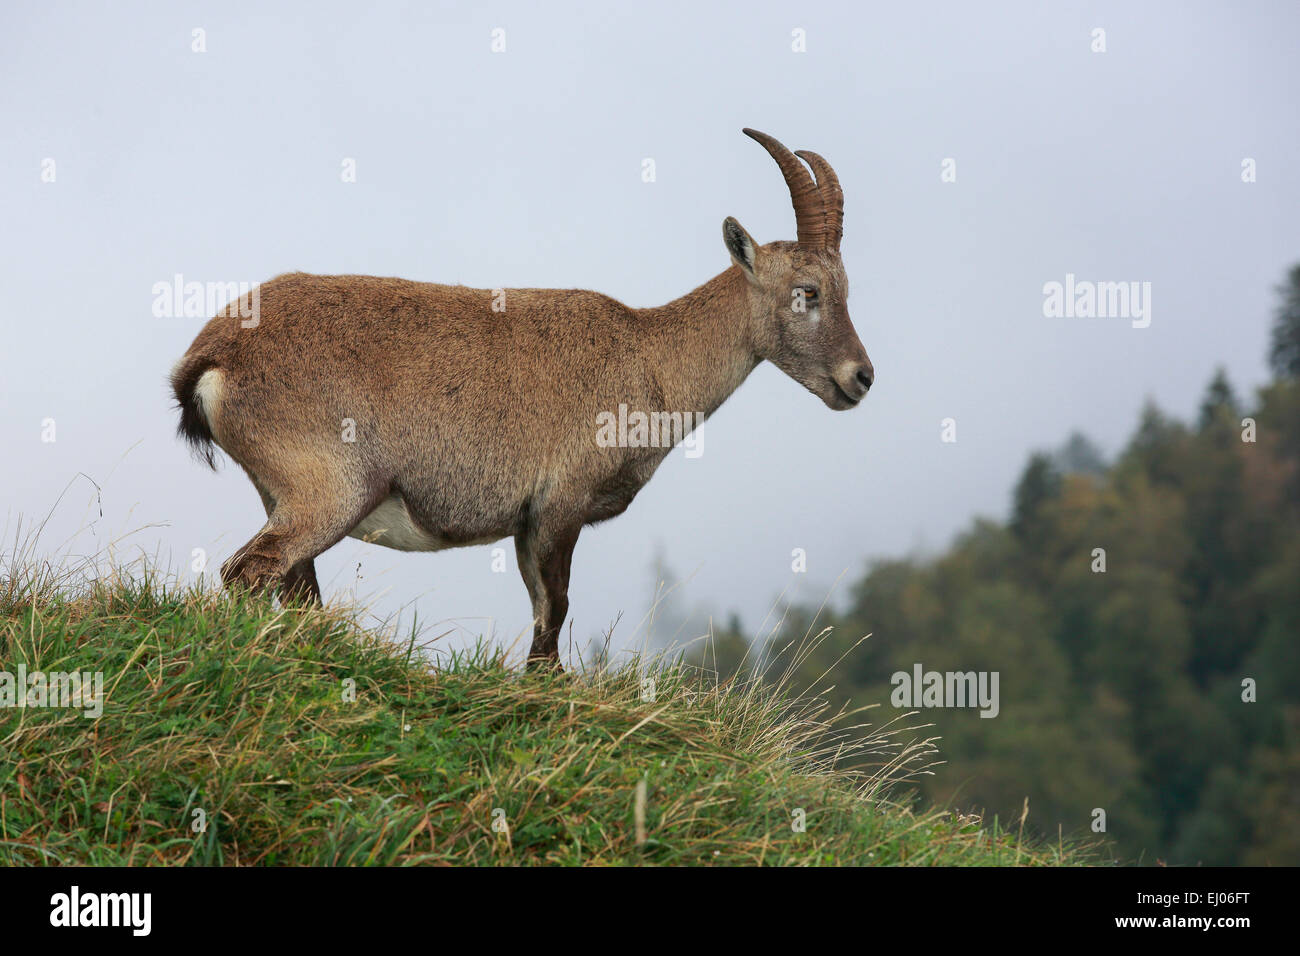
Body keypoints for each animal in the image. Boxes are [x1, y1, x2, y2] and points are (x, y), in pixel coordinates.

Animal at [170, 129, 874, 667]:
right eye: (808, 291)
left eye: (845, 288)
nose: (862, 377)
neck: (647, 357)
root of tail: (212, 355)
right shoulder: (560, 504)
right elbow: (554, 613)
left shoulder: (527, 521)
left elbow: (542, 608)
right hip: (331, 489)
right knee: (245, 574)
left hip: (282, 493)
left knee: (295, 592)